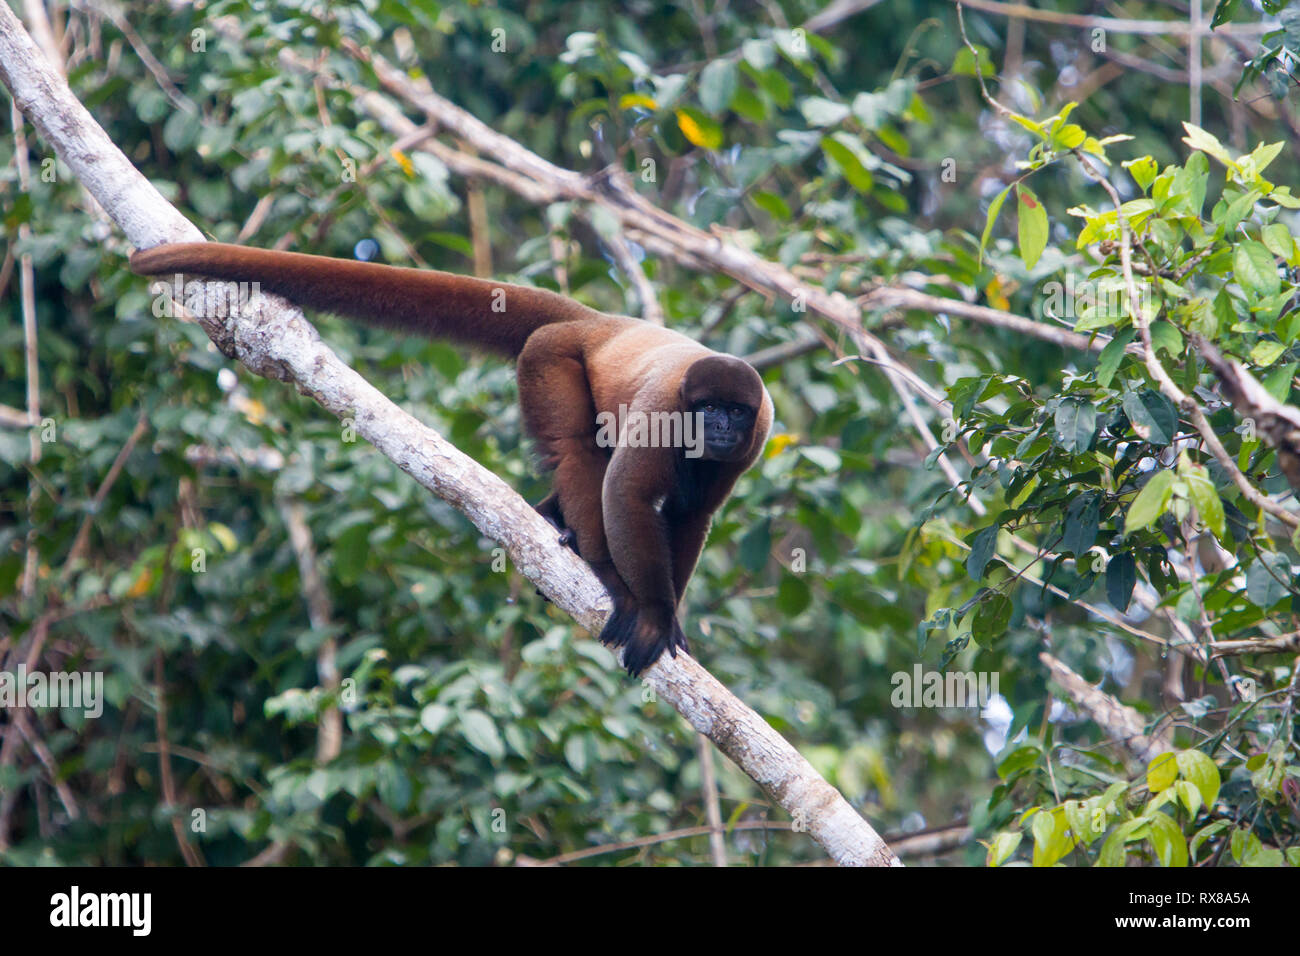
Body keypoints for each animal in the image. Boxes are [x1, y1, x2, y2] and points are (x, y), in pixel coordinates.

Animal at [131, 242, 773, 676]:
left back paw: (554, 522)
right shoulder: (665, 409)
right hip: (550, 356)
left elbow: (691, 515)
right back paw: (604, 573)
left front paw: (670, 613)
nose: (718, 426)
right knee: (579, 452)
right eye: (707, 407)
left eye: (733, 412)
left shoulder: (756, 437)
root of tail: (599, 322)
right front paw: (653, 611)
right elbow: (628, 496)